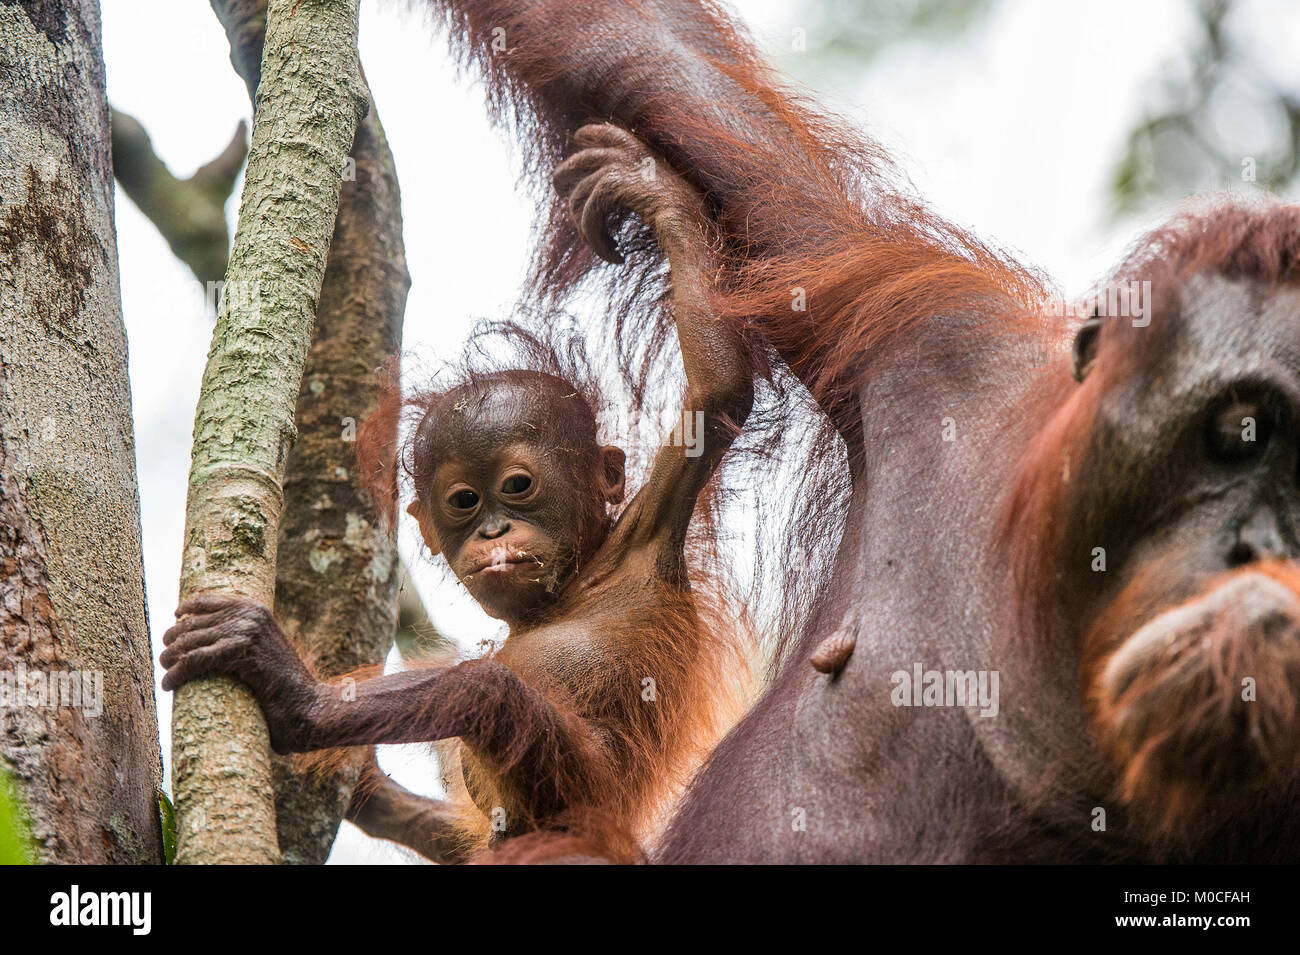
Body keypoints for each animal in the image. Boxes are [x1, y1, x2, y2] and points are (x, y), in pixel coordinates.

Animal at [161, 124, 754, 862]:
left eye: (518, 487)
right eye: (465, 502)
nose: (495, 531)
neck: (566, 592)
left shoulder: (649, 528)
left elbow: (719, 397)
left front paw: (649, 188)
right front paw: (371, 792)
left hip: (574, 813)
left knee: (487, 687)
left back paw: (301, 701)